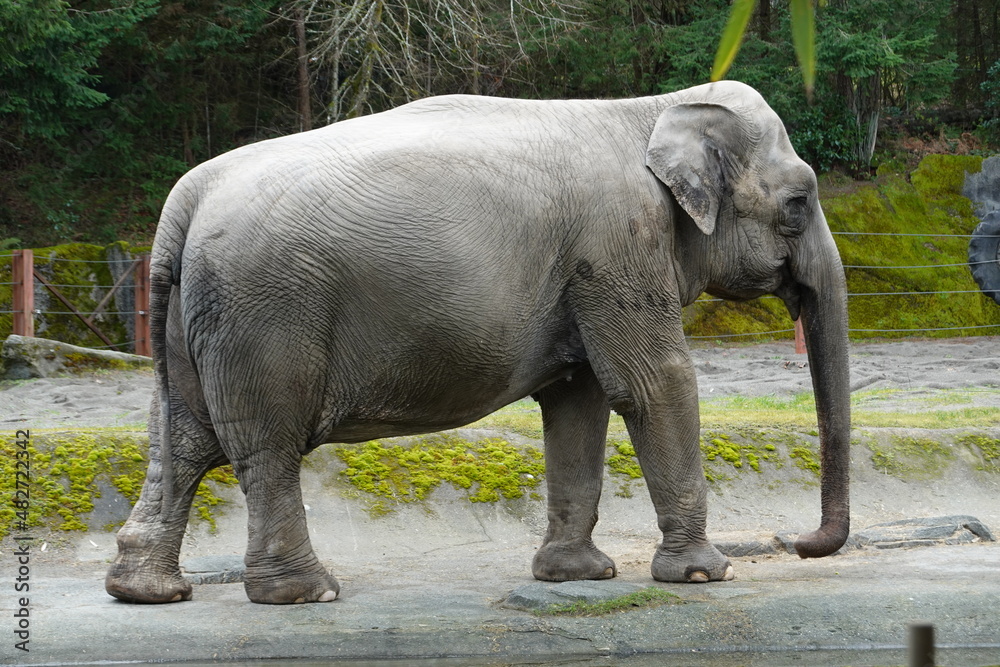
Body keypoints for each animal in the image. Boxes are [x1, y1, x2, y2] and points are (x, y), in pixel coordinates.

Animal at [106, 80, 850, 605]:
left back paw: (148, 590)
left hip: (196, 320)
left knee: (181, 441)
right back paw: (305, 592)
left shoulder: (589, 267)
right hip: (264, 313)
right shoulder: (618, 244)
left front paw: (576, 576)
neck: (650, 109)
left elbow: (579, 401)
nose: (798, 541)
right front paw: (702, 575)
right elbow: (652, 384)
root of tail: (182, 206)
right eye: (798, 204)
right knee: (265, 445)